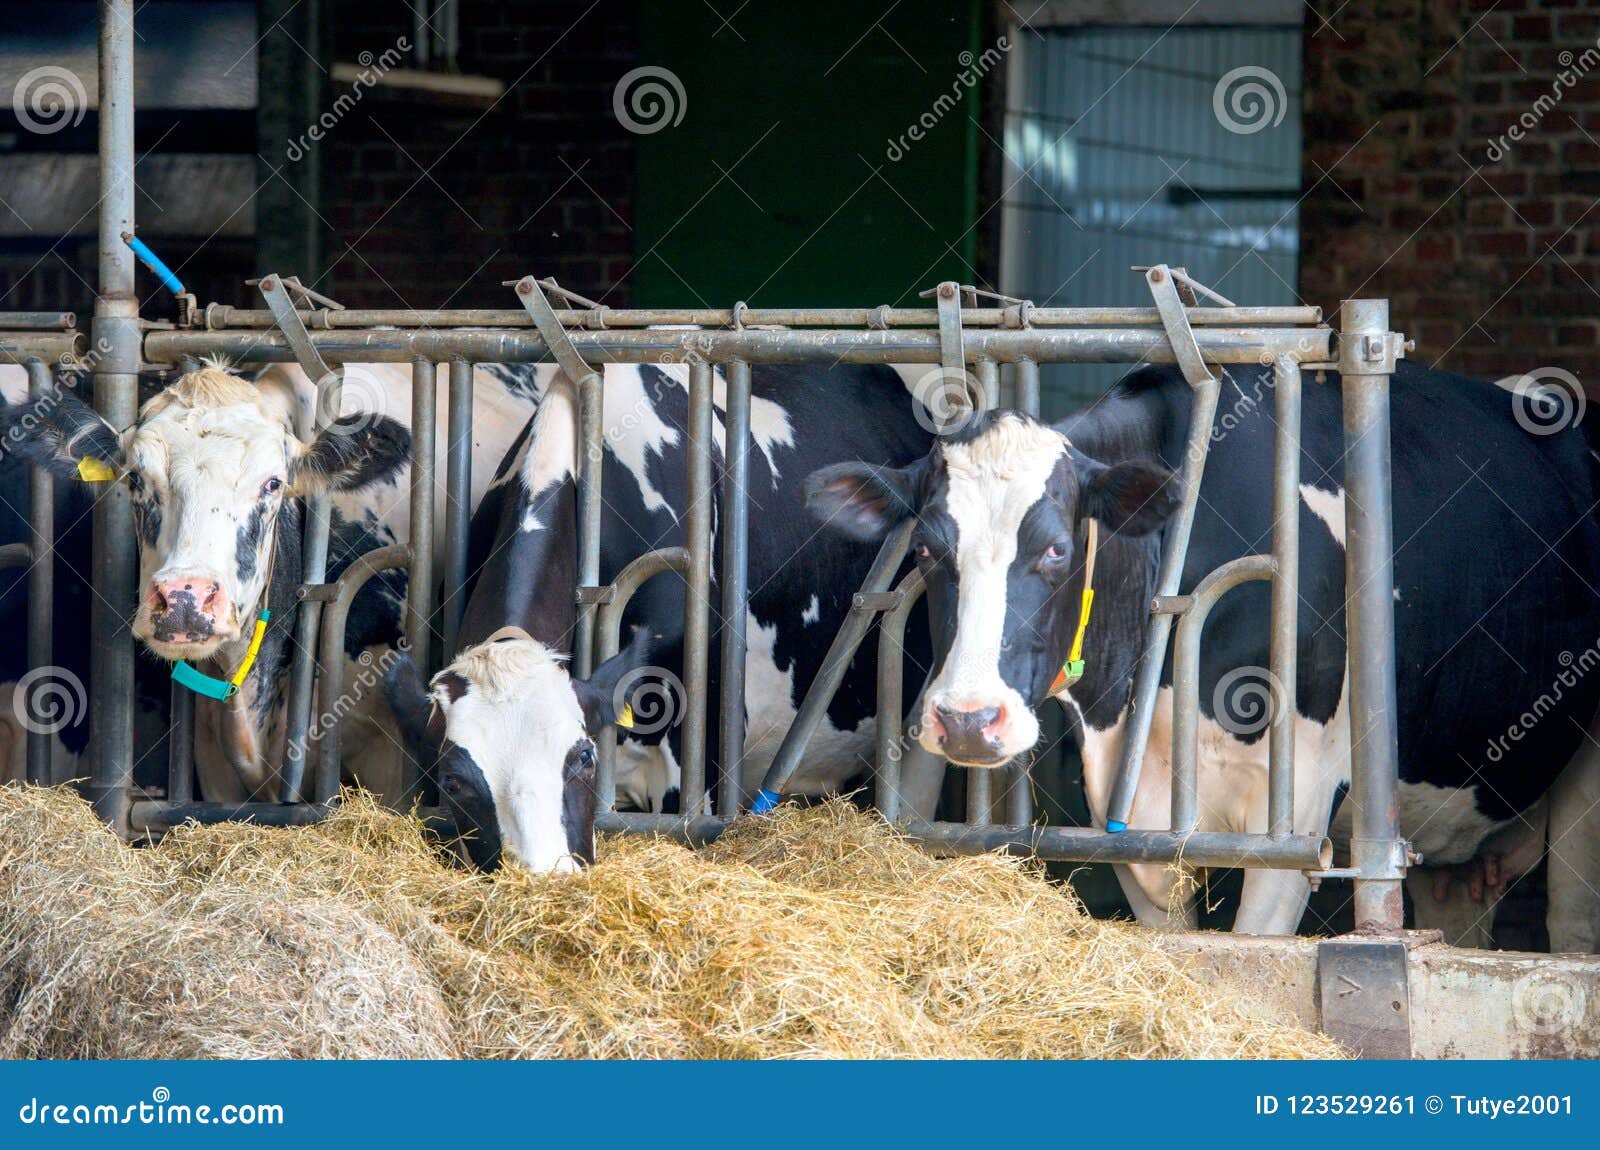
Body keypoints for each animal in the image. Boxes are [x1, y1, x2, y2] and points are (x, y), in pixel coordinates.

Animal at [803, 359, 1600, 952]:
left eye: (1056, 548)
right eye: (928, 550)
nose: (969, 720)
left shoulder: (1298, 810)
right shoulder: (1134, 806)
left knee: (1572, 921)